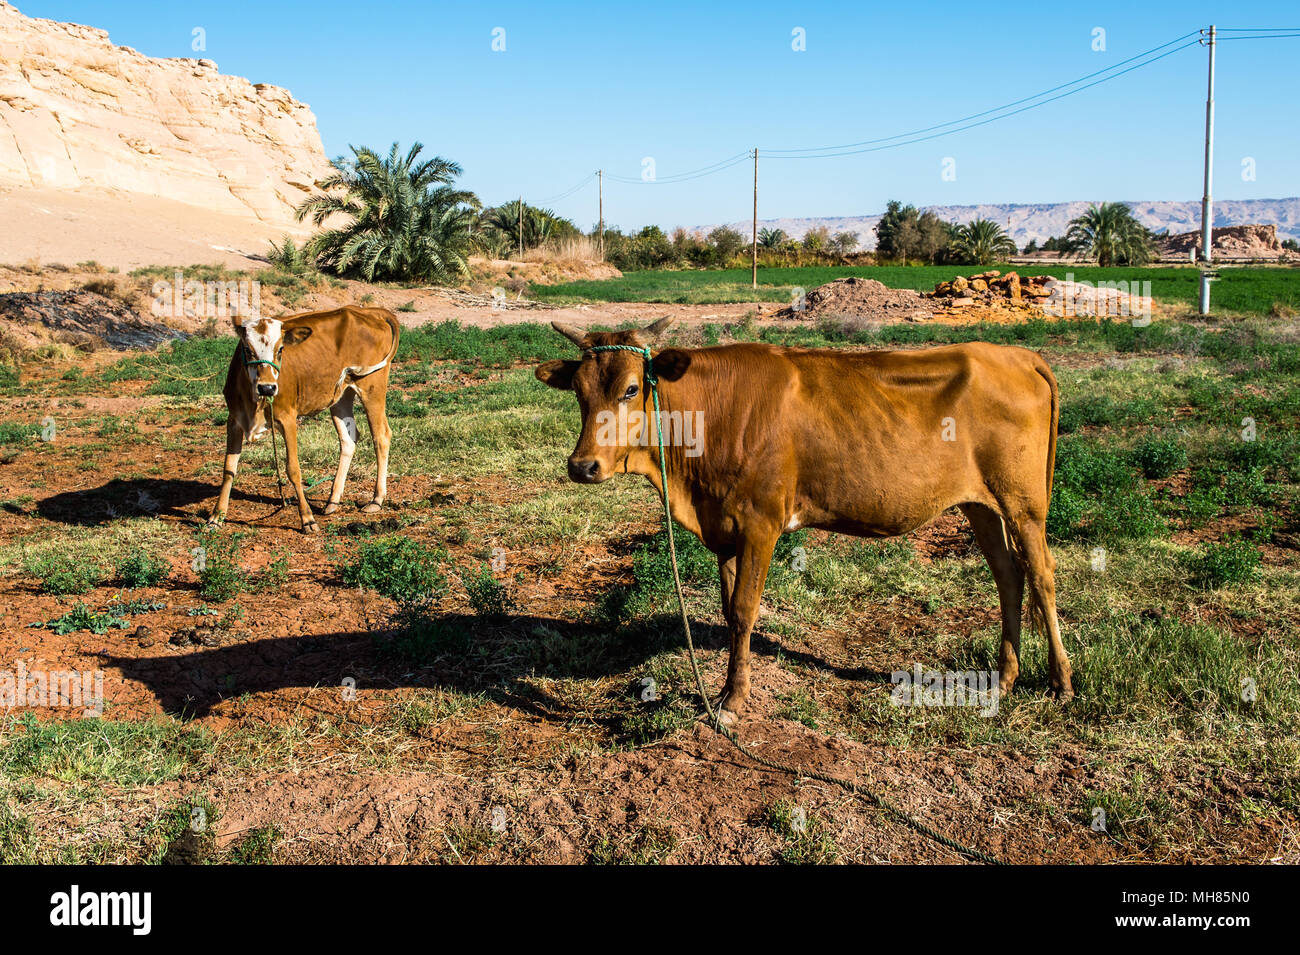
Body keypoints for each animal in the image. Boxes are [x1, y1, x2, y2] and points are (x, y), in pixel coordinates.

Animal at [207, 306, 400, 533]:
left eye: (280, 349)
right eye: (247, 349)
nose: (267, 387)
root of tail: (368, 310)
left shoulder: (288, 418)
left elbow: (293, 469)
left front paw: (307, 518)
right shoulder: (234, 421)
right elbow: (228, 469)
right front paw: (216, 516)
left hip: (372, 386)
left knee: (381, 436)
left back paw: (377, 499)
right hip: (340, 396)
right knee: (348, 440)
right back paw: (333, 500)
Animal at [536, 317, 1073, 723]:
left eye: (631, 389)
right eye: (579, 391)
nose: (582, 466)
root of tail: (1017, 356)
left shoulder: (761, 523)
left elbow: (746, 610)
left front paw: (733, 700)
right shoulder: (724, 528)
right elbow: (729, 611)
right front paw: (728, 689)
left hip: (1024, 504)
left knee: (1042, 575)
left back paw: (1061, 680)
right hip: (981, 505)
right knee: (1009, 575)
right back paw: (1004, 678)